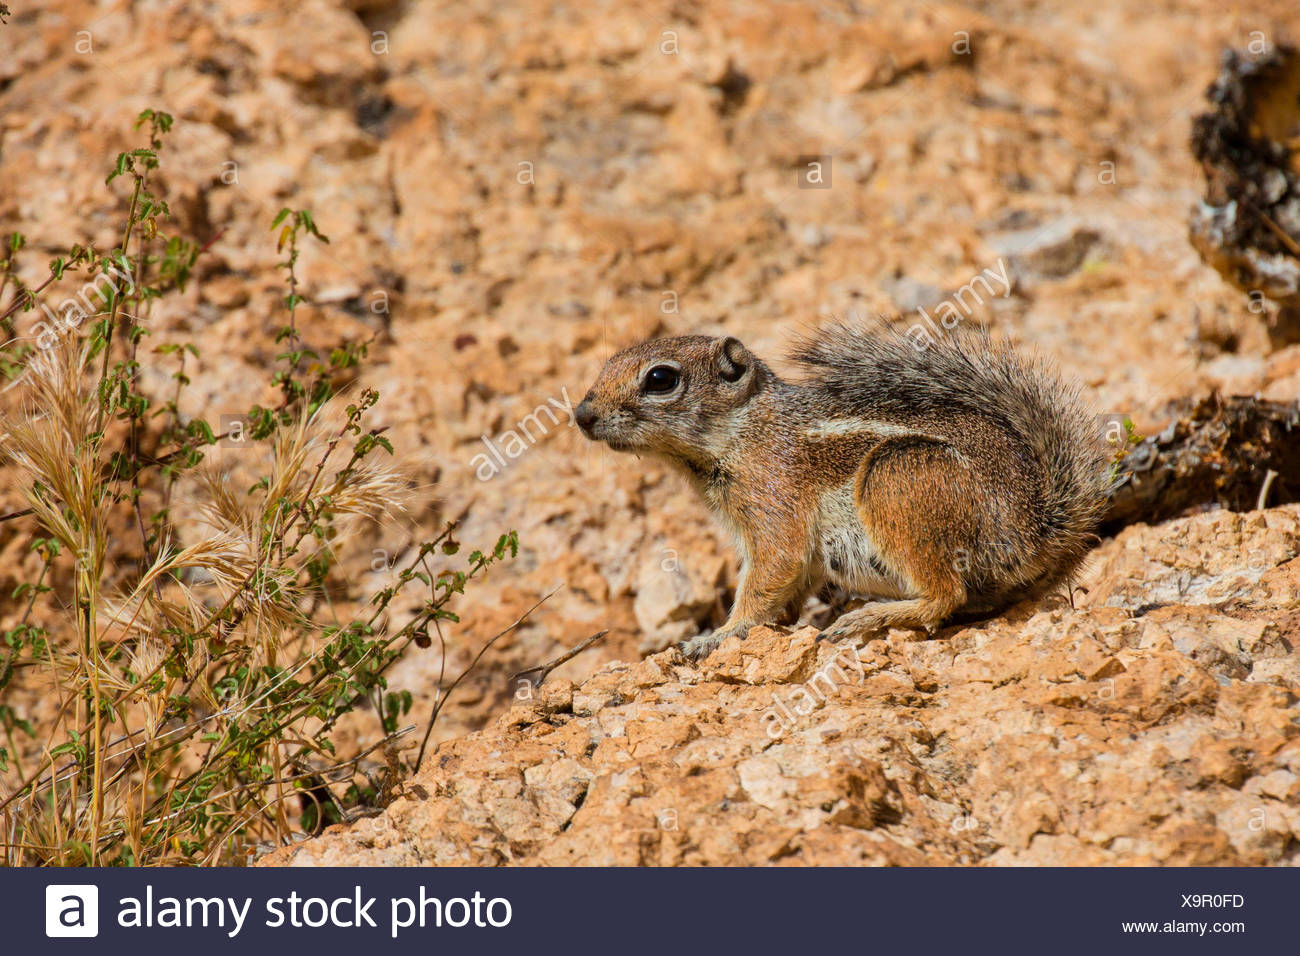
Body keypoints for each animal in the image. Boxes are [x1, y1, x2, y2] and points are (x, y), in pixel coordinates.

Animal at [575, 323, 1111, 660]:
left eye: (660, 378)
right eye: (607, 363)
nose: (582, 415)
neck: (746, 430)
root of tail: (1038, 525)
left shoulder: (774, 505)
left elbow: (770, 572)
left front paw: (717, 636)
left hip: (895, 476)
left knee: (944, 596)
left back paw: (865, 619)